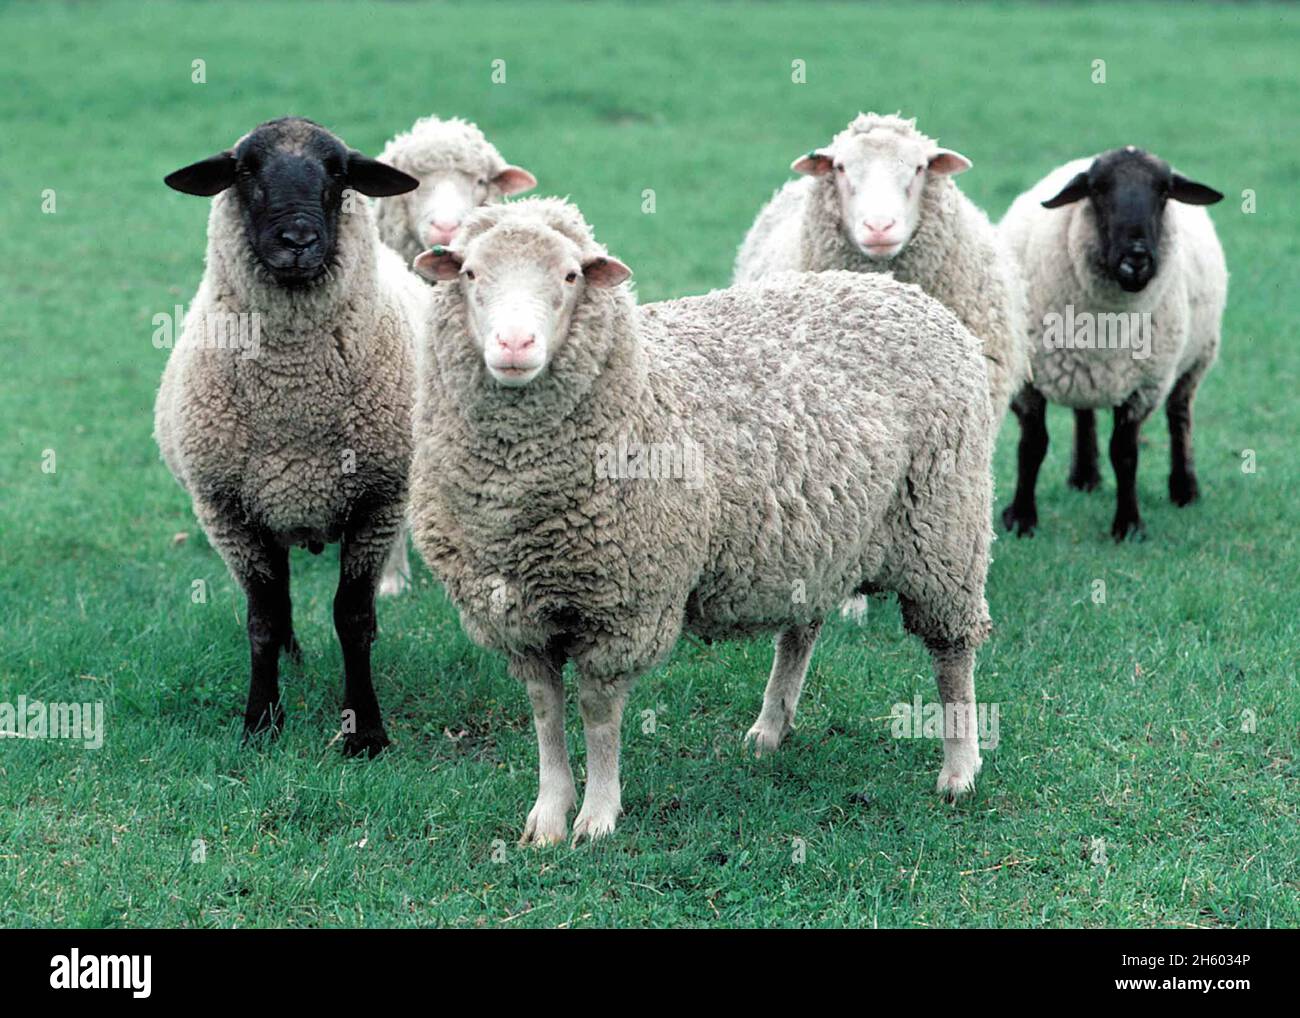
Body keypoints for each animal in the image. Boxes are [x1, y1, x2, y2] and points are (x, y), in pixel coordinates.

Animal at [155, 117, 423, 756]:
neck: (293, 398)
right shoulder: (228, 511)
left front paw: (365, 732)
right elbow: (264, 618)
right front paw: (260, 722)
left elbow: (353, 619)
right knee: (281, 601)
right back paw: (293, 661)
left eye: (339, 171)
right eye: (245, 168)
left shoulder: (378, 501)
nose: (298, 238)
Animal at [407, 197, 995, 844]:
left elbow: (598, 714)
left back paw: (960, 767)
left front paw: (598, 816)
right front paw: (549, 813)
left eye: (570, 276)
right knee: (801, 630)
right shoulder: (516, 617)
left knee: (953, 653)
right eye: (470, 274)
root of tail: (904, 293)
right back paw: (771, 728)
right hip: (818, 535)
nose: (515, 344)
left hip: (944, 528)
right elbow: (545, 712)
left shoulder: (625, 604)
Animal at [997, 146, 1227, 541]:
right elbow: (1032, 444)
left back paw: (1184, 488)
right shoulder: (1028, 378)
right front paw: (1021, 518)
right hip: (1082, 366)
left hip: (1197, 357)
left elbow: (1125, 452)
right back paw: (1084, 477)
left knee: (1179, 415)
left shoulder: (1145, 385)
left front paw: (1129, 525)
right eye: (1097, 189)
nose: (1137, 258)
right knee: (1084, 412)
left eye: (1164, 192)